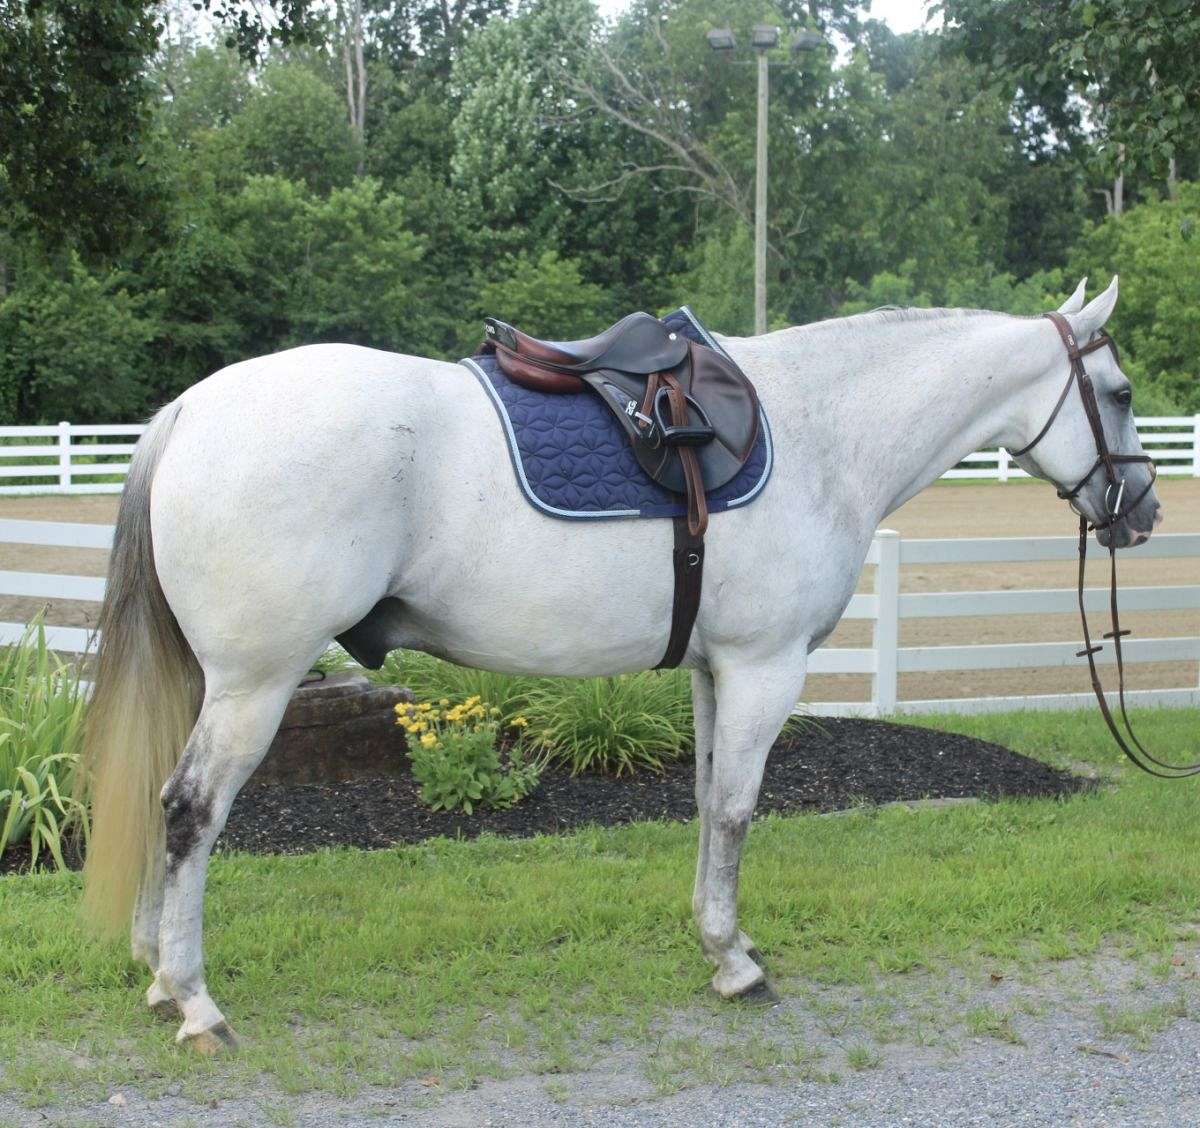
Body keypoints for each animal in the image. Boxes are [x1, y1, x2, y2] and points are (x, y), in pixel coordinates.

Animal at [79, 275, 1160, 1053]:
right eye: (1119, 393)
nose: (1142, 511)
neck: (824, 430)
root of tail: (189, 412)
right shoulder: (765, 668)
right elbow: (737, 808)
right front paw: (737, 966)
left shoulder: (714, 670)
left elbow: (706, 802)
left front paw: (722, 942)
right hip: (256, 683)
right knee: (190, 809)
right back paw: (197, 1001)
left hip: (214, 680)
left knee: (161, 797)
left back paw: (155, 974)